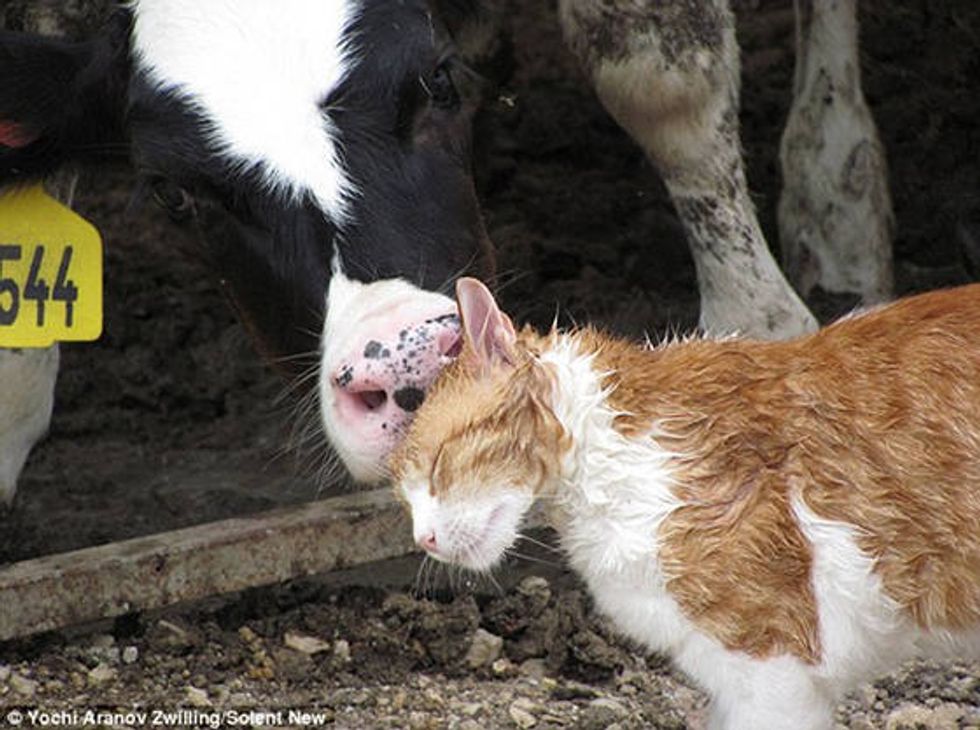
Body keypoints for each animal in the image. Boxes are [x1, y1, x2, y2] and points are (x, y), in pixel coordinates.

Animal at [0, 0, 892, 501]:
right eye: (175, 194)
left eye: (435, 80)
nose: (411, 364)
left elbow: (657, 72)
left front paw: (756, 322)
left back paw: (838, 190)